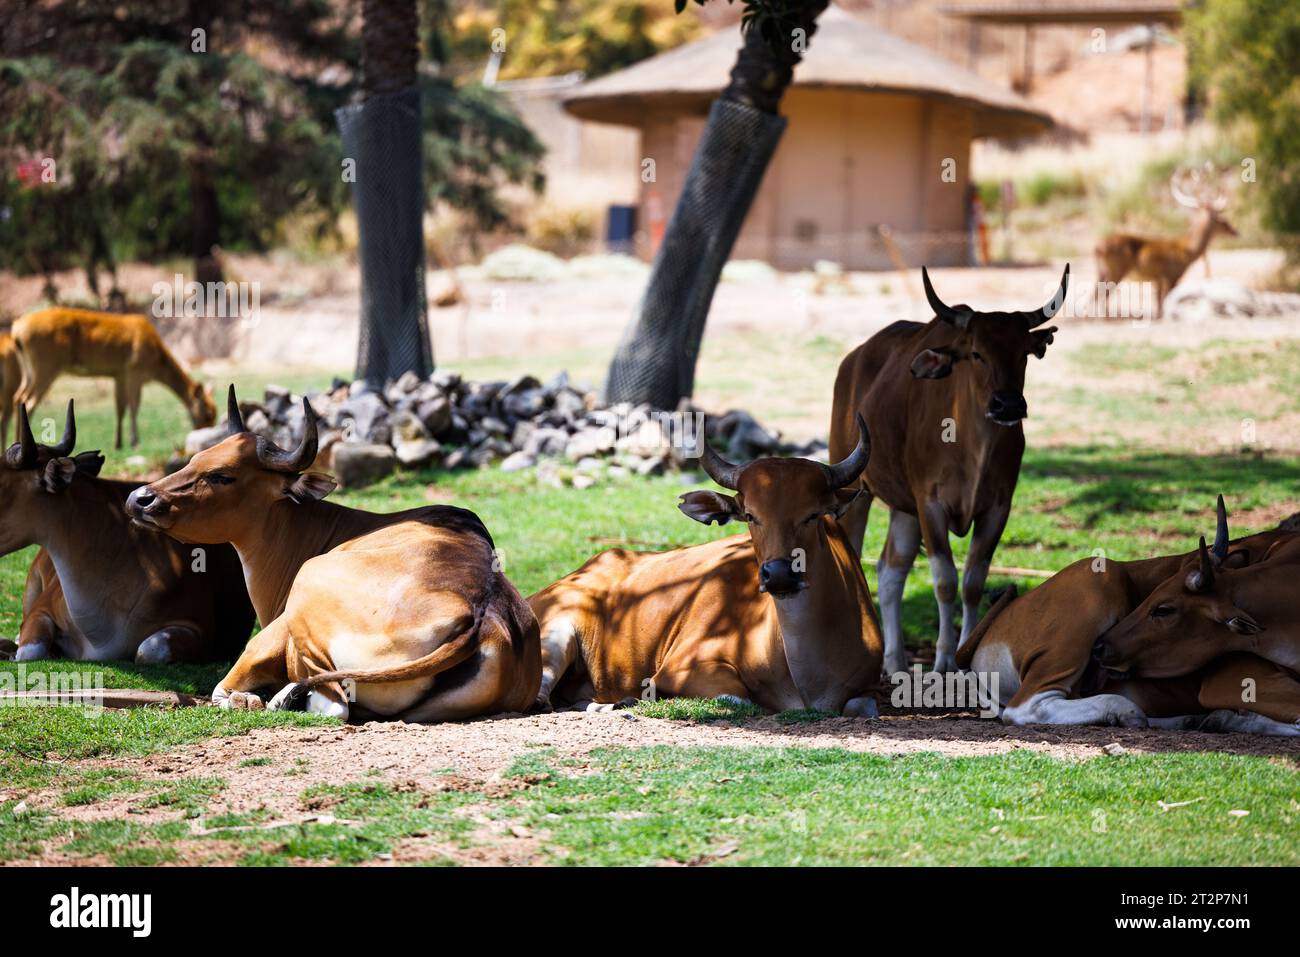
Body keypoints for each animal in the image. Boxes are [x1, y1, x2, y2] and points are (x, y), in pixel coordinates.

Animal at [124, 387, 540, 722]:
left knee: (332, 703)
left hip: (308, 589)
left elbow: (224, 688)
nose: (139, 498)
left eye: (222, 475)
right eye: (195, 459)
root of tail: (480, 614)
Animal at [527, 417, 882, 716]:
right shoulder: (680, 668)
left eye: (813, 514)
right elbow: (739, 699)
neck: (805, 675)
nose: (780, 574)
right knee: (539, 698)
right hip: (556, 632)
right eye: (750, 515)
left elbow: (864, 707)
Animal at [829, 265, 1068, 674]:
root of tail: (852, 362)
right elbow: (944, 580)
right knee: (857, 557)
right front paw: (943, 659)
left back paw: (896, 661)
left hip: (903, 507)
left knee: (891, 569)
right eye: (976, 353)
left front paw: (965, 652)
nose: (1007, 404)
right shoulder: (931, 504)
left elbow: (973, 582)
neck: (973, 450)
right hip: (857, 488)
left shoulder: (997, 508)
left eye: (1023, 352)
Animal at [959, 497, 1299, 733]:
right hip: (1100, 576)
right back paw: (1124, 710)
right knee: (1028, 707)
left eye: (1163, 609)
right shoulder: (1231, 681)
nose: (1101, 647)